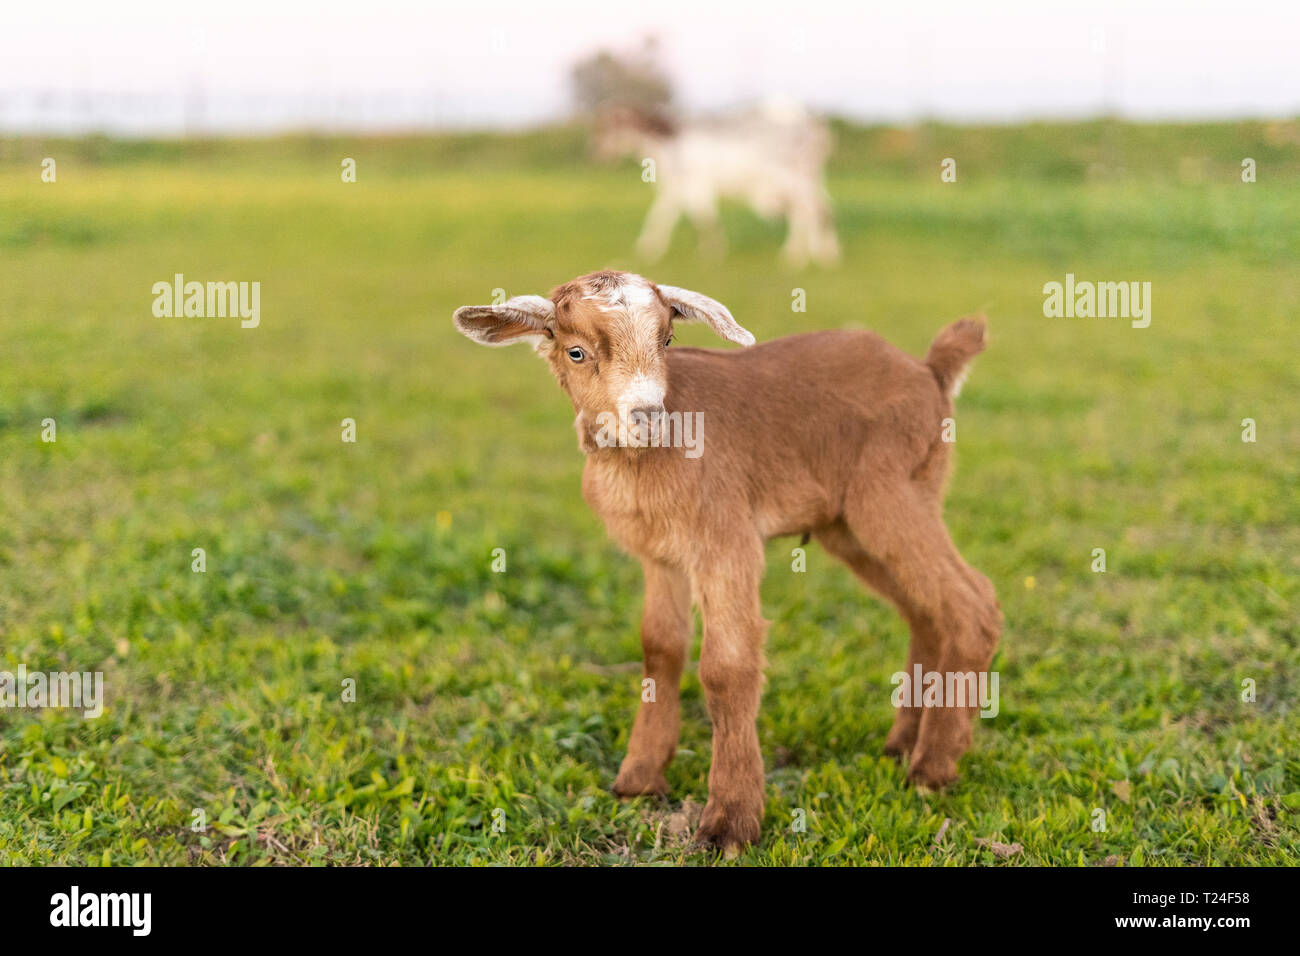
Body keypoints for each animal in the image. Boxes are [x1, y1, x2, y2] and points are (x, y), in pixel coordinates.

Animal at [453, 271, 1001, 854]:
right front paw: (639, 779)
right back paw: (902, 745)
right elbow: (660, 649)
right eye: (576, 351)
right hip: (853, 524)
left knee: (972, 604)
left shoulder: (726, 538)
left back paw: (932, 769)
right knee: (927, 612)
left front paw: (729, 822)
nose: (648, 417)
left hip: (889, 492)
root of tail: (931, 370)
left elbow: (726, 667)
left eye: (667, 340)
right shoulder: (660, 555)